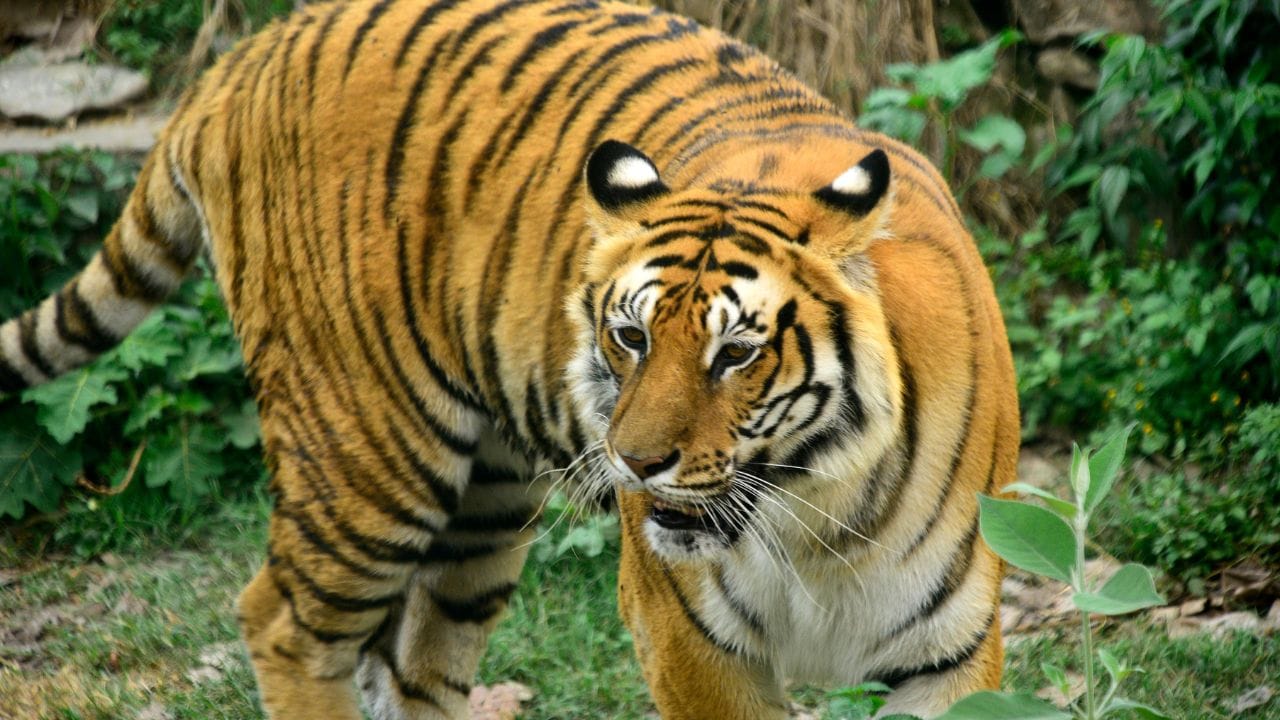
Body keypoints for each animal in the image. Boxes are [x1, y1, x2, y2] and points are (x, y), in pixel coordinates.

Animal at [0, 0, 1020, 717]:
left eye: (736, 353)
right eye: (631, 336)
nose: (635, 465)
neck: (817, 518)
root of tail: (244, 54)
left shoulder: (951, 649)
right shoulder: (686, 636)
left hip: (484, 499)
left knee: (411, 661)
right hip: (366, 451)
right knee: (284, 621)